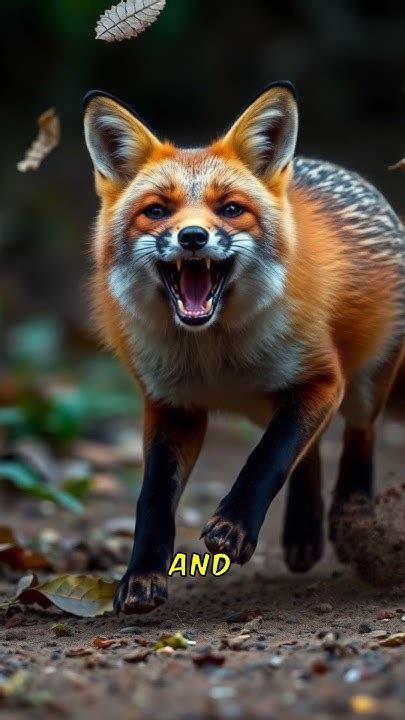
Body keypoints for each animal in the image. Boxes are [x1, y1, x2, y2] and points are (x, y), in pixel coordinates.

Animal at [83, 81, 405, 614]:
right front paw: (142, 573)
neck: (213, 356)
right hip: (267, 403)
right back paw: (303, 535)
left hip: (362, 385)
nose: (193, 236)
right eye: (158, 211)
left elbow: (270, 456)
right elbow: (152, 497)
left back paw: (352, 519)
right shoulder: (172, 405)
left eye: (230, 209)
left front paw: (234, 525)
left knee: (358, 436)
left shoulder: (322, 379)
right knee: (311, 453)